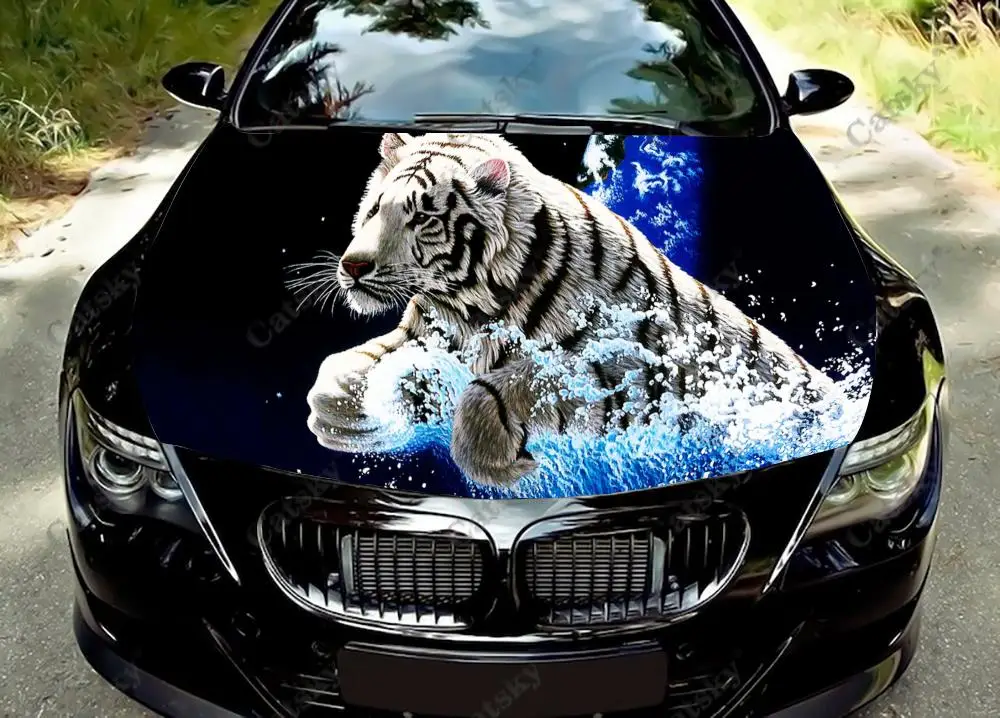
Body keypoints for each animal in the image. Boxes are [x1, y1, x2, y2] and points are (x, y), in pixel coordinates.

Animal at [303, 131, 835, 488]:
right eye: (376, 208)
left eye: (424, 217)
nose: (353, 266)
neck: (467, 304)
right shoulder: (427, 332)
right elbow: (348, 365)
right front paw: (344, 411)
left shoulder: (621, 376)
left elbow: (502, 388)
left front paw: (503, 463)